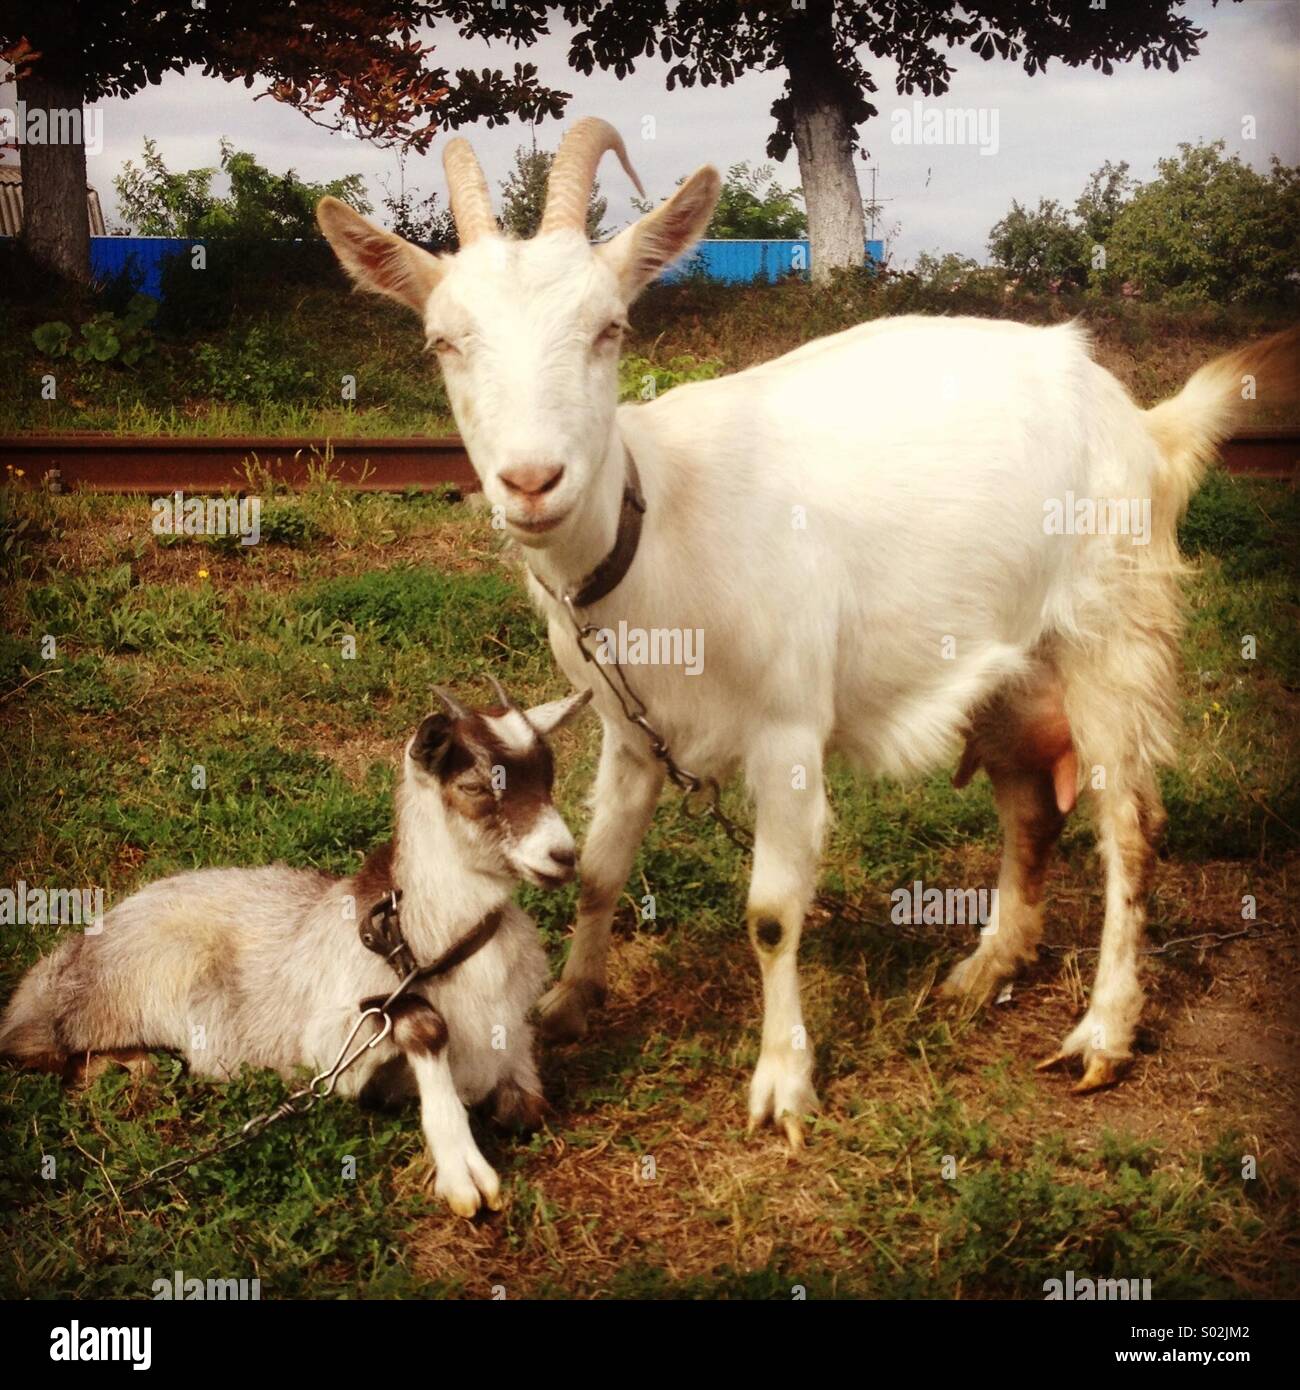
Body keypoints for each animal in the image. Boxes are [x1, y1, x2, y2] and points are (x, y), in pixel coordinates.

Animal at [0, 686, 590, 1216]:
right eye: (473, 784)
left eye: (549, 776)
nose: (564, 856)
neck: (430, 948)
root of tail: (70, 951)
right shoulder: (336, 1047)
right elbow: (419, 1023)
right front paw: (460, 1169)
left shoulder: (514, 1049)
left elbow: (528, 1110)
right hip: (140, 980)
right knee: (39, 1049)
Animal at [317, 118, 1297, 1146]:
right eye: (443, 341)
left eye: (609, 328)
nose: (533, 481)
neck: (660, 520)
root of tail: (1143, 424)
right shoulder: (632, 729)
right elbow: (598, 870)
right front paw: (571, 1003)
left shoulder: (787, 728)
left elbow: (773, 915)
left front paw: (783, 1085)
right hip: (1009, 667)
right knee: (1033, 808)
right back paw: (987, 968)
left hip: (1111, 629)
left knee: (1129, 824)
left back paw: (1103, 1032)